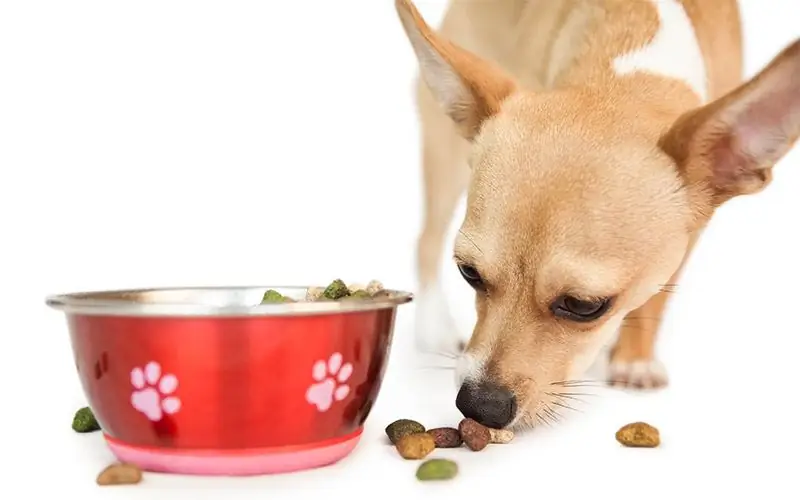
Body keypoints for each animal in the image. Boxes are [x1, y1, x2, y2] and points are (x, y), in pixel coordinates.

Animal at [398, 0, 800, 430]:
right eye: (469, 273)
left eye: (584, 306)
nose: (479, 406)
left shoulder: (693, 229)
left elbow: (659, 292)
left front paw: (635, 360)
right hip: (445, 153)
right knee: (426, 239)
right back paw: (433, 325)